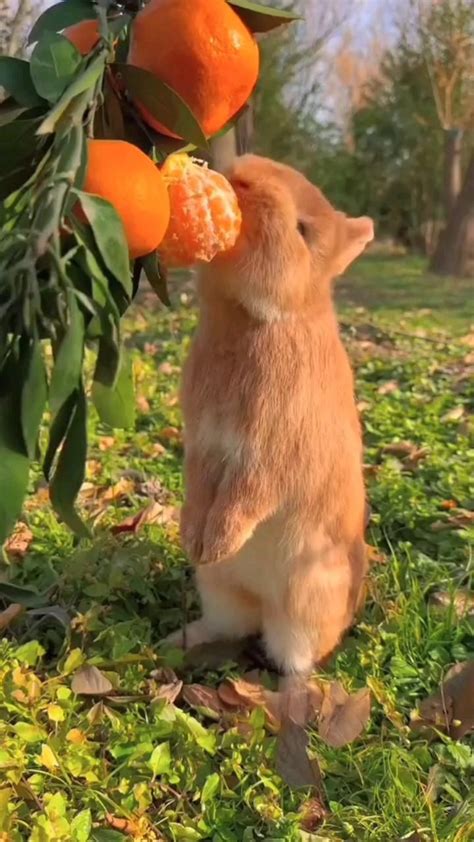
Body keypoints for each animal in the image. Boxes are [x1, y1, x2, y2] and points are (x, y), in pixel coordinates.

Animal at [165, 154, 374, 676]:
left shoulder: (269, 455)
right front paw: (194, 540)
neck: (251, 317)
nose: (242, 176)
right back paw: (177, 640)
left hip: (303, 604)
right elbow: (201, 486)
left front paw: (217, 542)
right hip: (219, 589)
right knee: (228, 624)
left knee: (294, 656)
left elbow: (245, 496)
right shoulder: (204, 444)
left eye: (302, 230)